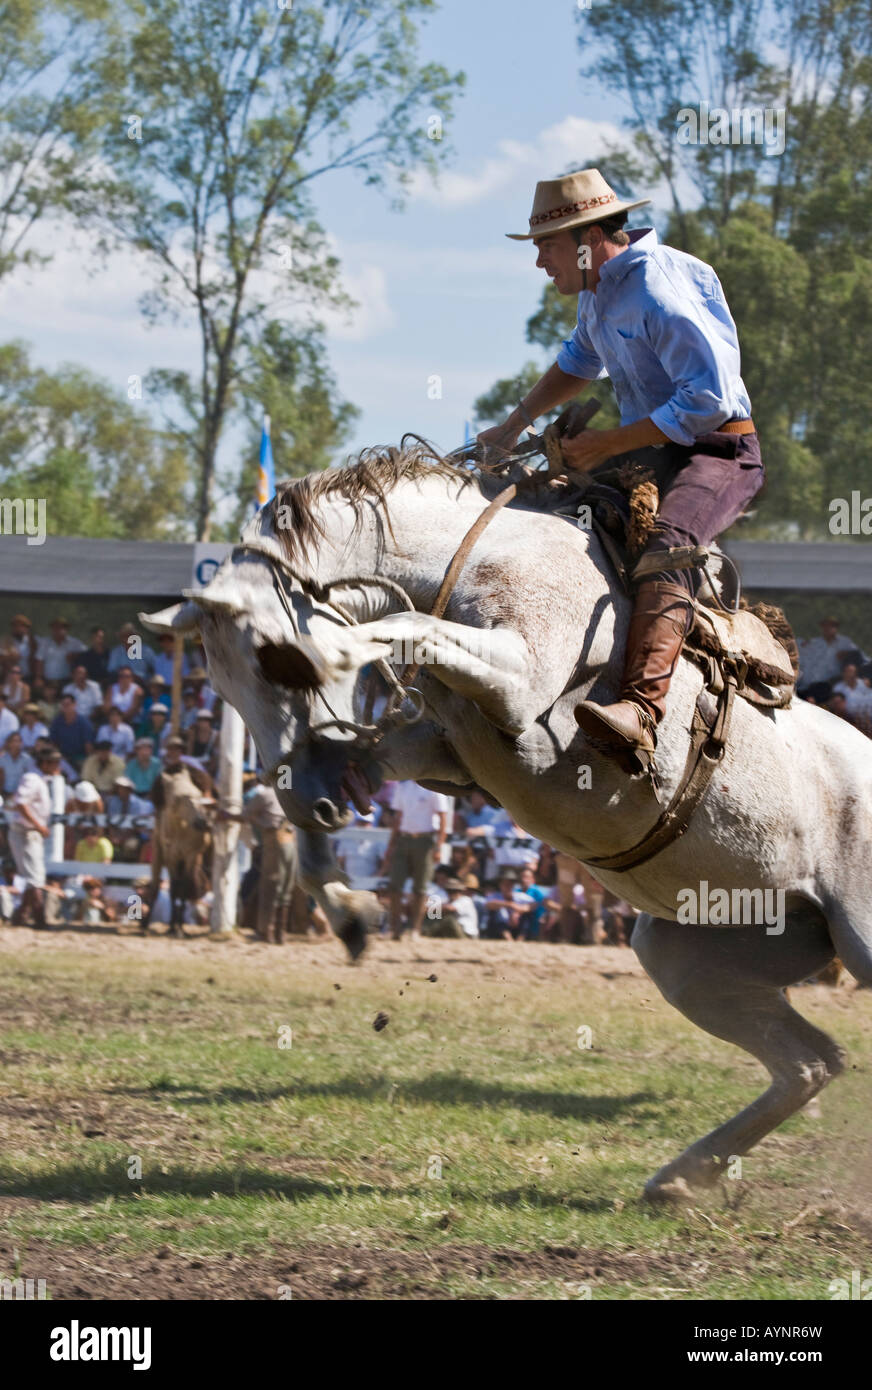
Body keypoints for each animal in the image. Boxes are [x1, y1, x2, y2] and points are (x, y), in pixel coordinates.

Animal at [140, 444, 872, 1198]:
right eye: (220, 684)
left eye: (276, 659)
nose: (304, 795)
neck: (474, 561)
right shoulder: (448, 753)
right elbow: (369, 762)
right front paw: (349, 910)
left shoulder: (521, 686)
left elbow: (403, 628)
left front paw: (348, 652)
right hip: (692, 958)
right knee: (812, 1060)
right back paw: (680, 1179)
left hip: (856, 938)